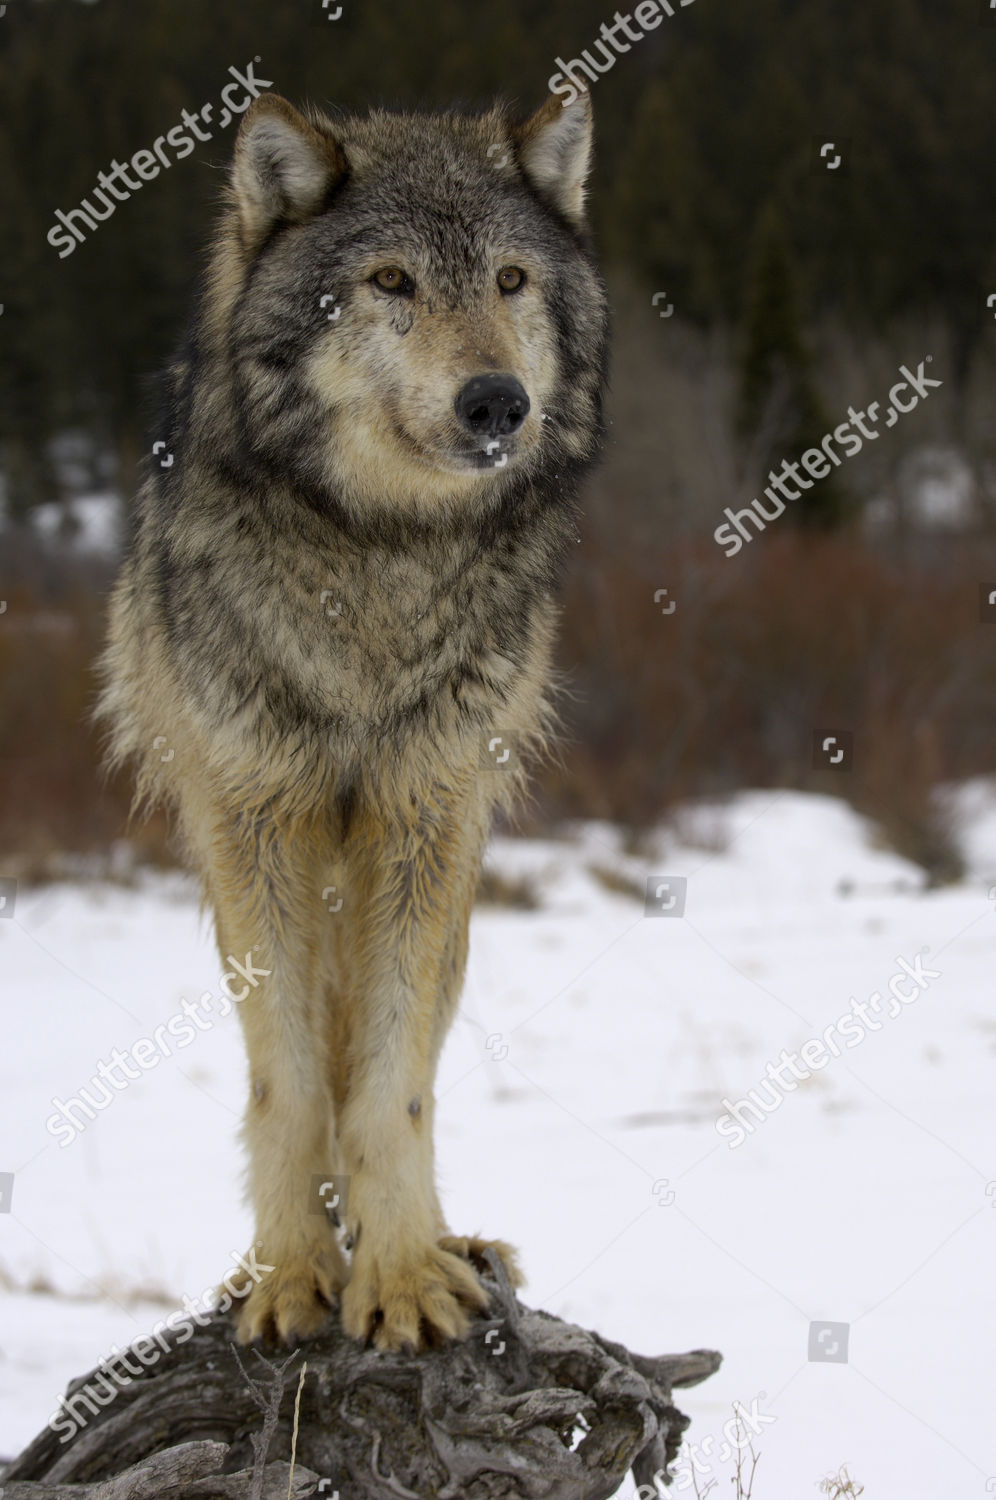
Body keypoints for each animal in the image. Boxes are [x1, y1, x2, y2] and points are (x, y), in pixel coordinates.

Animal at [94, 87, 609, 1351]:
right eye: (390, 282)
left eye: (511, 281)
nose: (497, 401)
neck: (381, 554)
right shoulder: (254, 822)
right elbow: (287, 1083)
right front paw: (287, 1277)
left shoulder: (428, 815)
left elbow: (393, 1083)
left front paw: (409, 1273)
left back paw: (447, 1240)